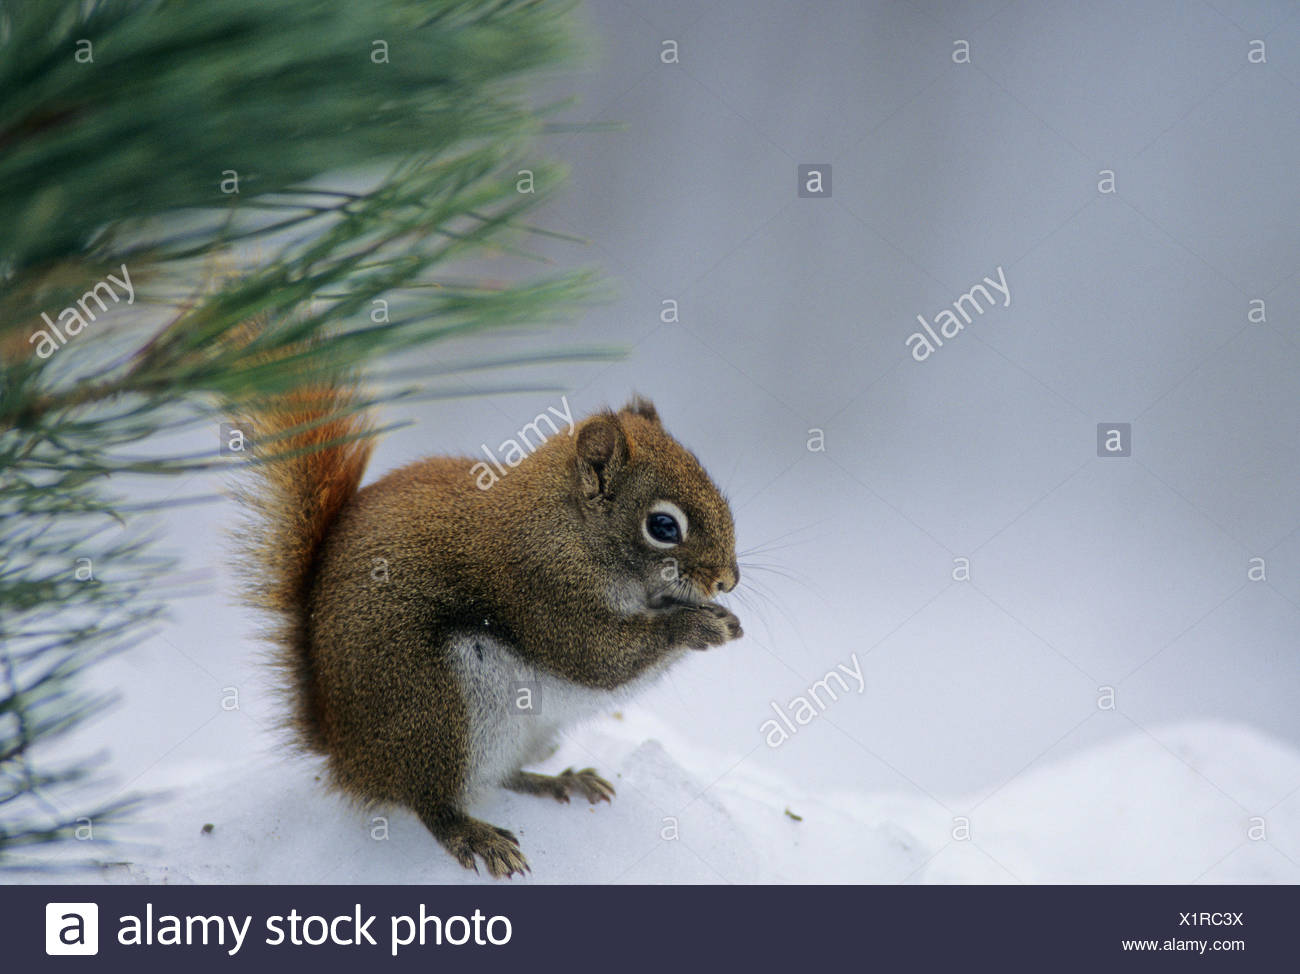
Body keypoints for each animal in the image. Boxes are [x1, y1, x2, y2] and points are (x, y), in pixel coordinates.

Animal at [236, 376, 743, 878]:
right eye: (663, 526)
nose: (728, 580)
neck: (569, 527)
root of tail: (345, 753)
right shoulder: (544, 590)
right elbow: (599, 658)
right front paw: (699, 626)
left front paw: (724, 618)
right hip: (439, 708)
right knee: (431, 800)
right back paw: (472, 834)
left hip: (520, 731)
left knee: (501, 775)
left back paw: (559, 782)